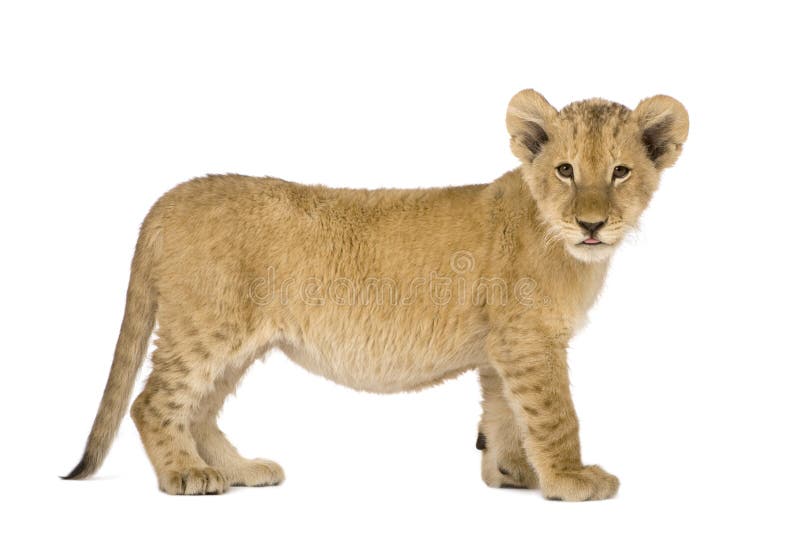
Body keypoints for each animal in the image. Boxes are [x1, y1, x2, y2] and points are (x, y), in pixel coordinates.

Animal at [63, 89, 688, 500]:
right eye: (565, 170)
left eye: (620, 172)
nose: (591, 224)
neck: (558, 238)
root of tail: (168, 198)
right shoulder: (529, 340)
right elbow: (556, 413)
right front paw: (571, 479)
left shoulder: (500, 348)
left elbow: (506, 412)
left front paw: (514, 474)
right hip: (207, 326)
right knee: (154, 402)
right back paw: (185, 476)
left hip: (237, 342)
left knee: (198, 410)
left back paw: (238, 470)